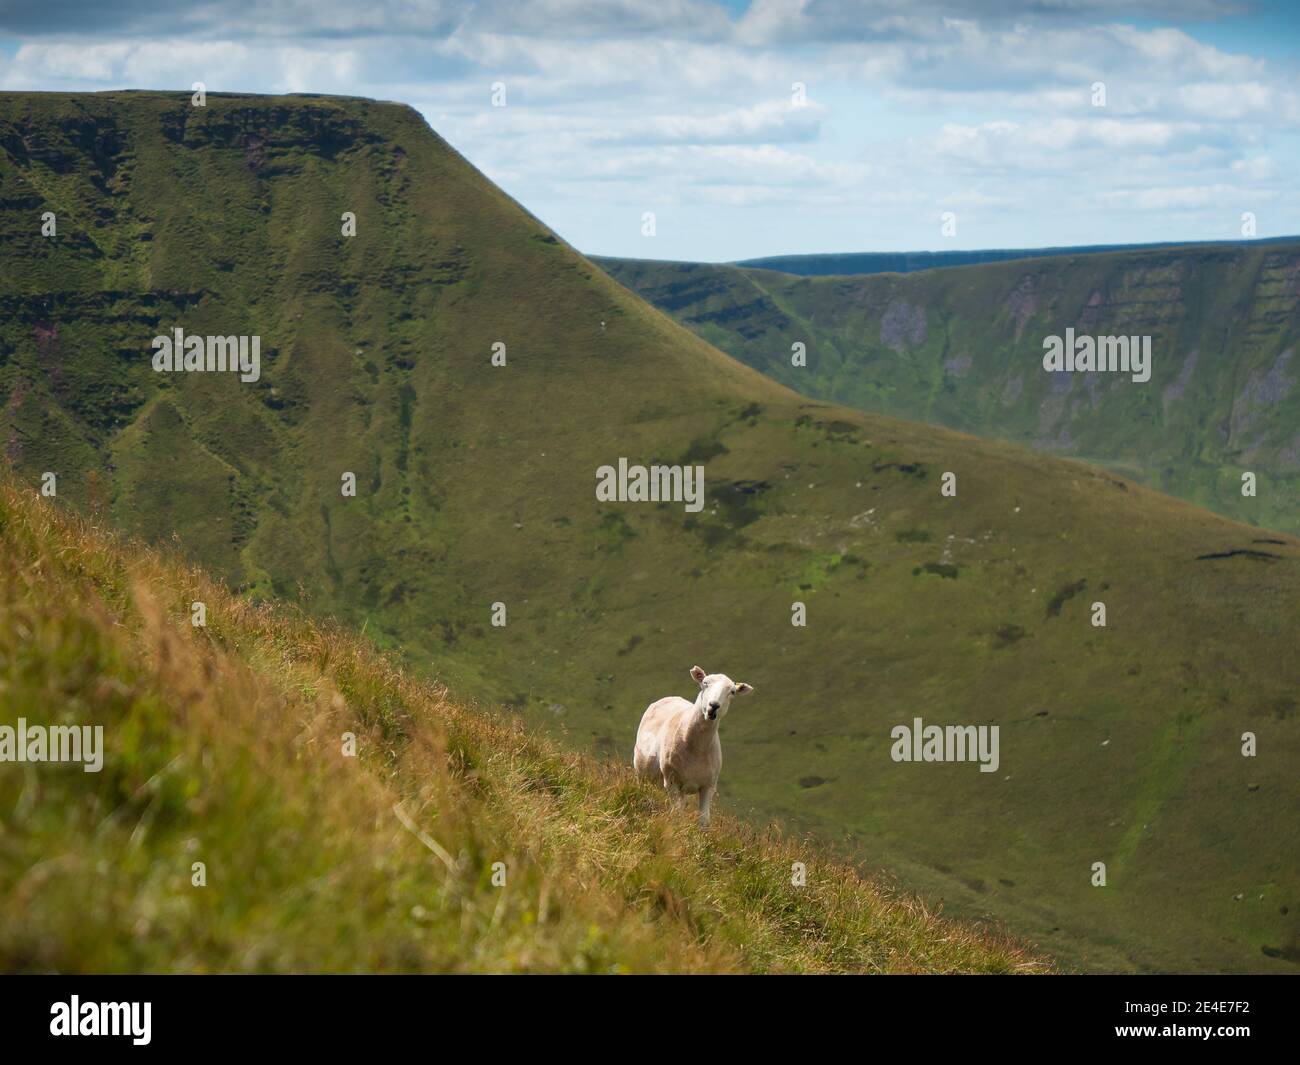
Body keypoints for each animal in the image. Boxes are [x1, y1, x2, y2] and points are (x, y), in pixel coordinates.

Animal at [632, 665, 753, 827]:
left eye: (732, 692)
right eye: (705, 683)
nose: (714, 706)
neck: (697, 748)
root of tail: (671, 697)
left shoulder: (708, 786)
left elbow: (704, 822)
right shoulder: (671, 781)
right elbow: (677, 816)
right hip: (643, 774)